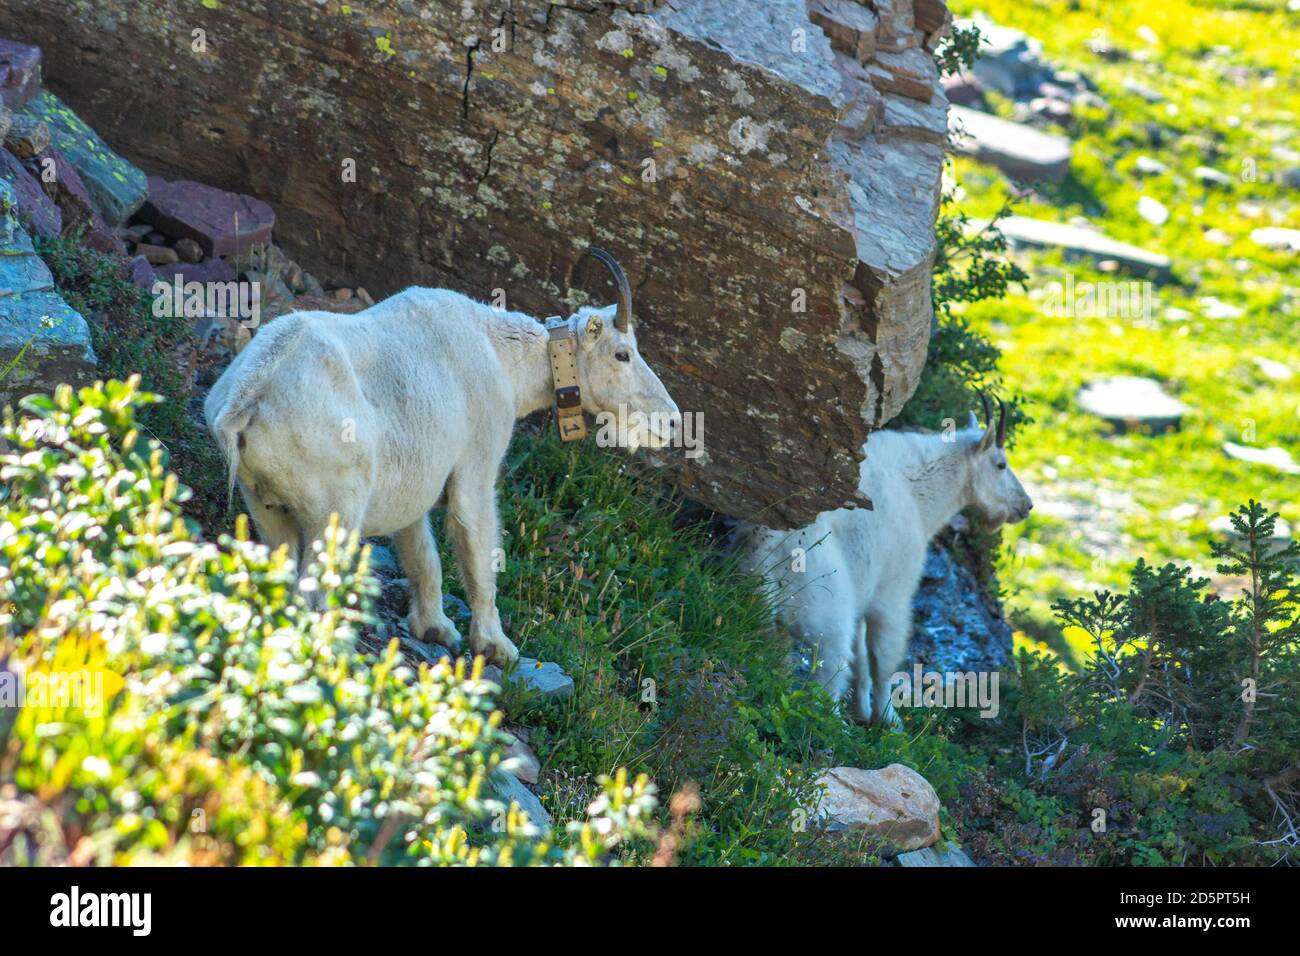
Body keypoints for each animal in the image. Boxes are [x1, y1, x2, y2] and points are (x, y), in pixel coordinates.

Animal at [205, 249, 679, 665]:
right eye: (623, 353)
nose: (672, 422)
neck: (500, 355)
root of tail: (245, 399)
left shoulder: (415, 480)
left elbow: (422, 554)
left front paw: (434, 627)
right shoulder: (476, 464)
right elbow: (477, 544)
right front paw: (496, 646)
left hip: (263, 505)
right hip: (334, 511)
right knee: (313, 594)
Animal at [735, 397, 1032, 726]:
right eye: (1000, 464)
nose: (1025, 505)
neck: (917, 490)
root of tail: (767, 543)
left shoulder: (864, 589)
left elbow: (863, 660)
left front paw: (863, 711)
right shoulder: (892, 594)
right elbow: (882, 658)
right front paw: (890, 719)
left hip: (763, 603)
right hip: (826, 601)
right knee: (829, 665)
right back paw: (835, 724)